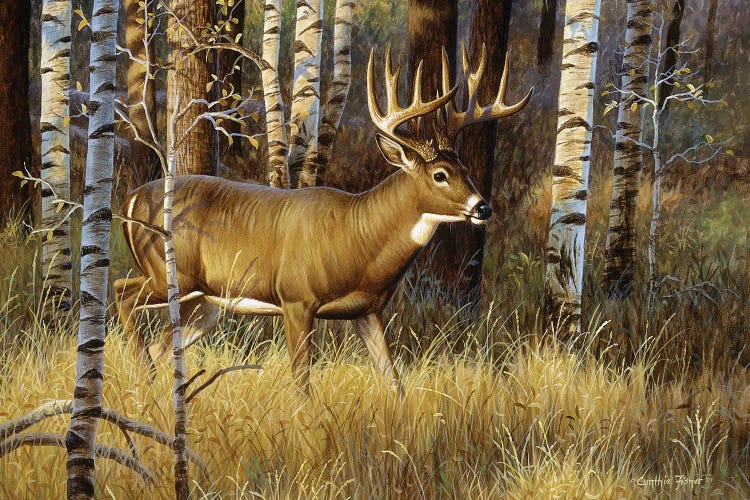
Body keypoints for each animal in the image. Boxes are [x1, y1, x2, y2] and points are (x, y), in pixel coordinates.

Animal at [115, 45, 532, 395]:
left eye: (465, 169)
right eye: (440, 174)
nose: (483, 208)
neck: (356, 238)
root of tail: (131, 199)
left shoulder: (368, 310)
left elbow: (393, 380)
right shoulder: (296, 298)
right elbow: (302, 381)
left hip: (206, 301)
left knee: (163, 345)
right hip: (169, 273)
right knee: (122, 291)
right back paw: (142, 372)